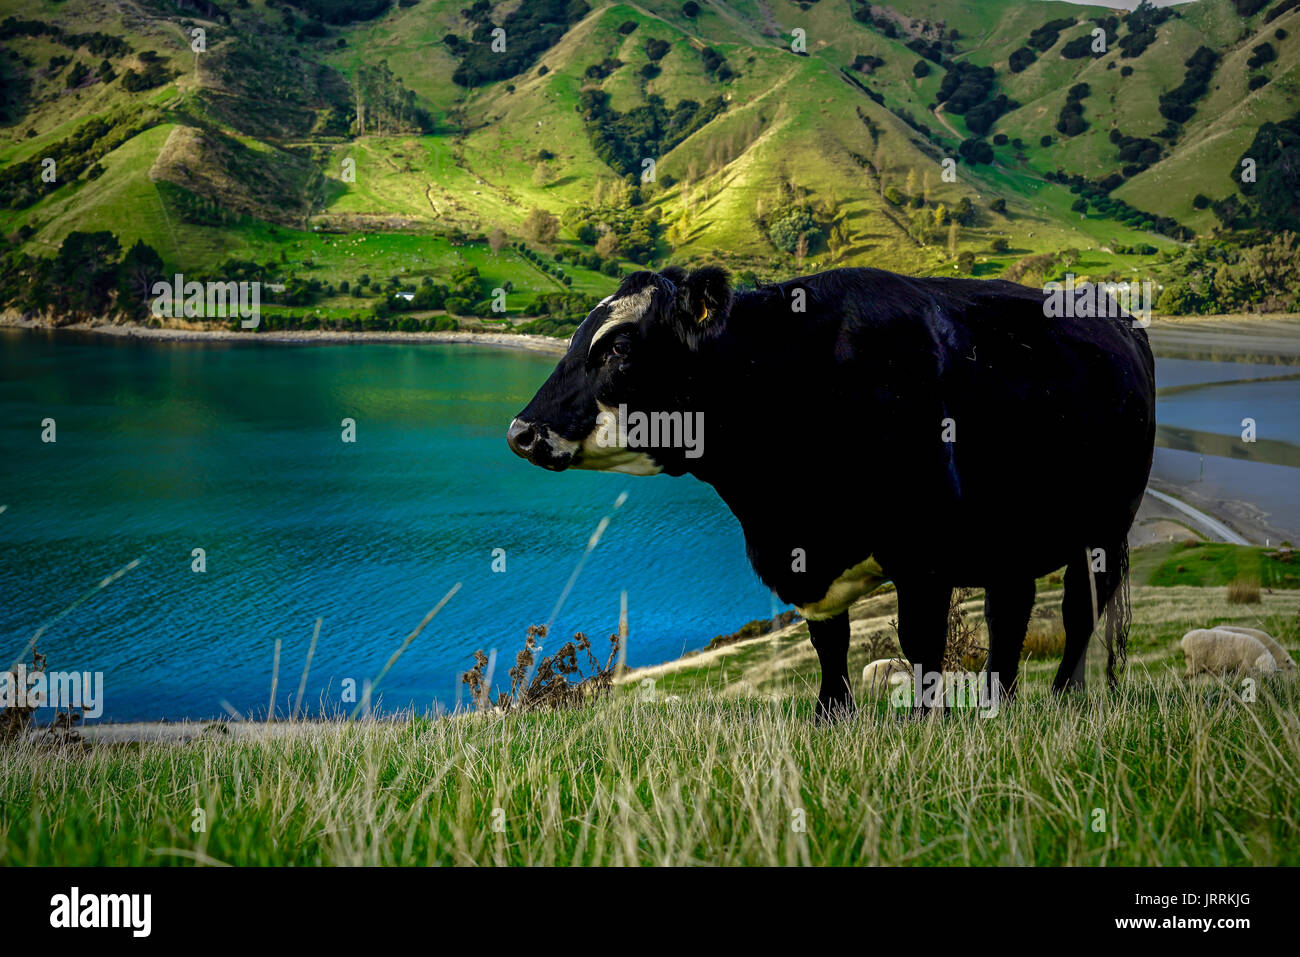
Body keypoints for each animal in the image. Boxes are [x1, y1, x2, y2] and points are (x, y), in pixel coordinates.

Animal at [506, 265, 1159, 722]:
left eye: (617, 347)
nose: (521, 432)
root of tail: (1118, 317)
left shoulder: (921, 552)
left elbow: (919, 637)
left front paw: (926, 721)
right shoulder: (803, 558)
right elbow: (829, 641)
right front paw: (830, 716)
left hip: (1105, 529)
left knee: (1077, 613)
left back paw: (1062, 696)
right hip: (1009, 536)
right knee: (1012, 612)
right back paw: (1000, 704)